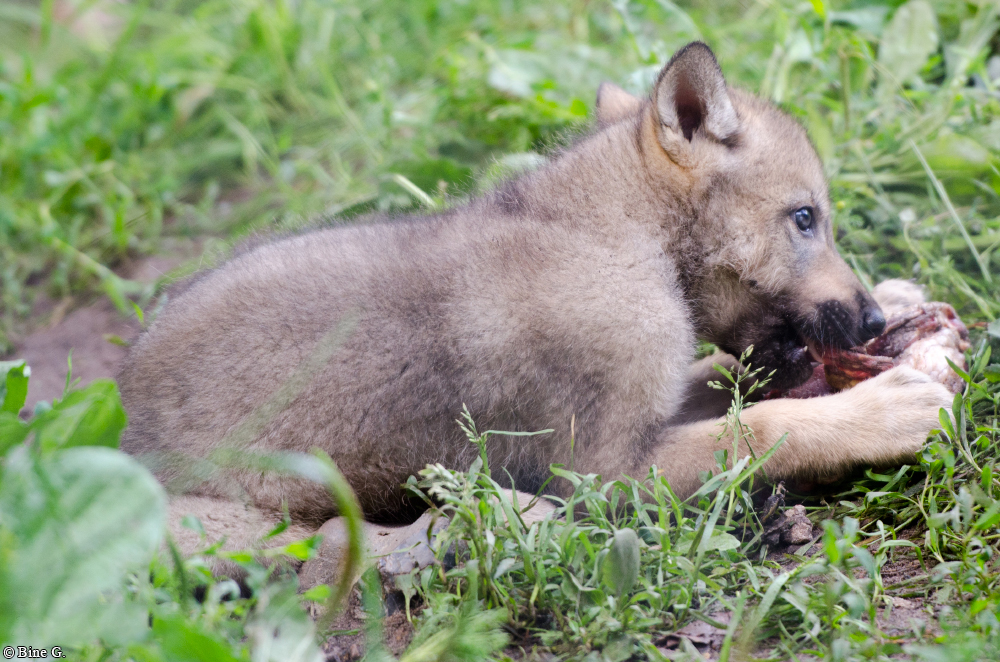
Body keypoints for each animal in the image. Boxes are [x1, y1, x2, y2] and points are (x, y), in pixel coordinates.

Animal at [118, 42, 952, 555]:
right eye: (805, 217)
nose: (875, 319)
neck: (620, 235)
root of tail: (128, 429)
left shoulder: (650, 390)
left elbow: (731, 380)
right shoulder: (603, 470)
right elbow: (762, 428)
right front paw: (884, 413)